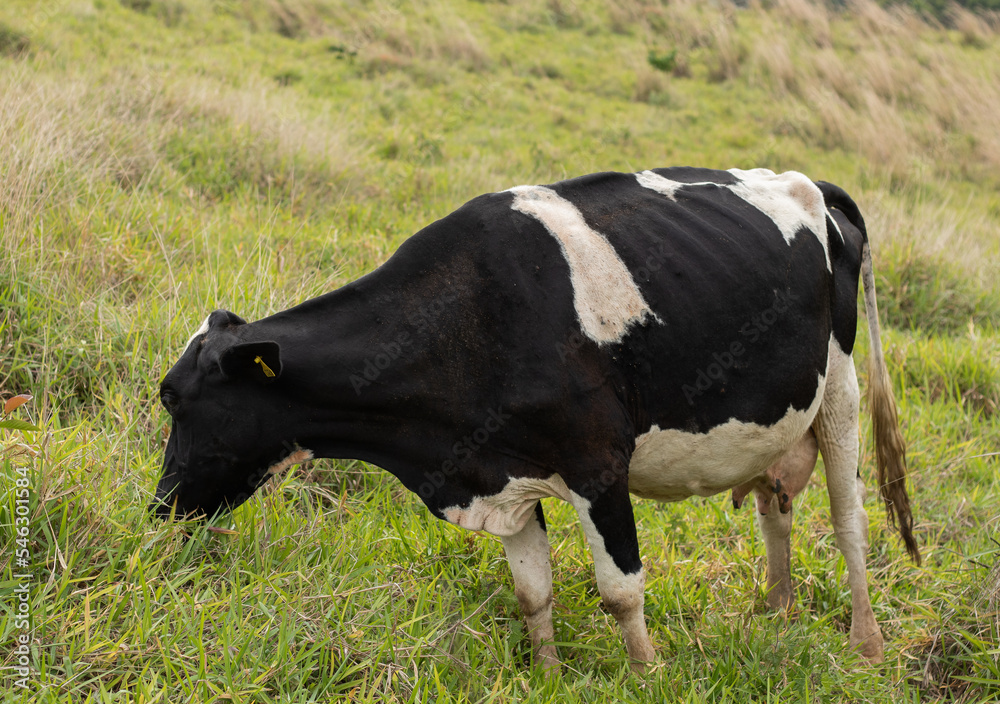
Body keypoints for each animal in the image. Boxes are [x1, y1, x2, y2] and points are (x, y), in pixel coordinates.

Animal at [152, 167, 919, 673]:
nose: (160, 510)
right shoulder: (503, 470)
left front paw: (647, 674)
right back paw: (776, 610)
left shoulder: (597, 462)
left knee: (850, 521)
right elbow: (532, 591)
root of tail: (804, 178)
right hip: (779, 414)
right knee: (775, 504)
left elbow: (620, 590)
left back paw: (866, 643)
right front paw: (549, 675)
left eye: (174, 400)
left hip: (841, 388)